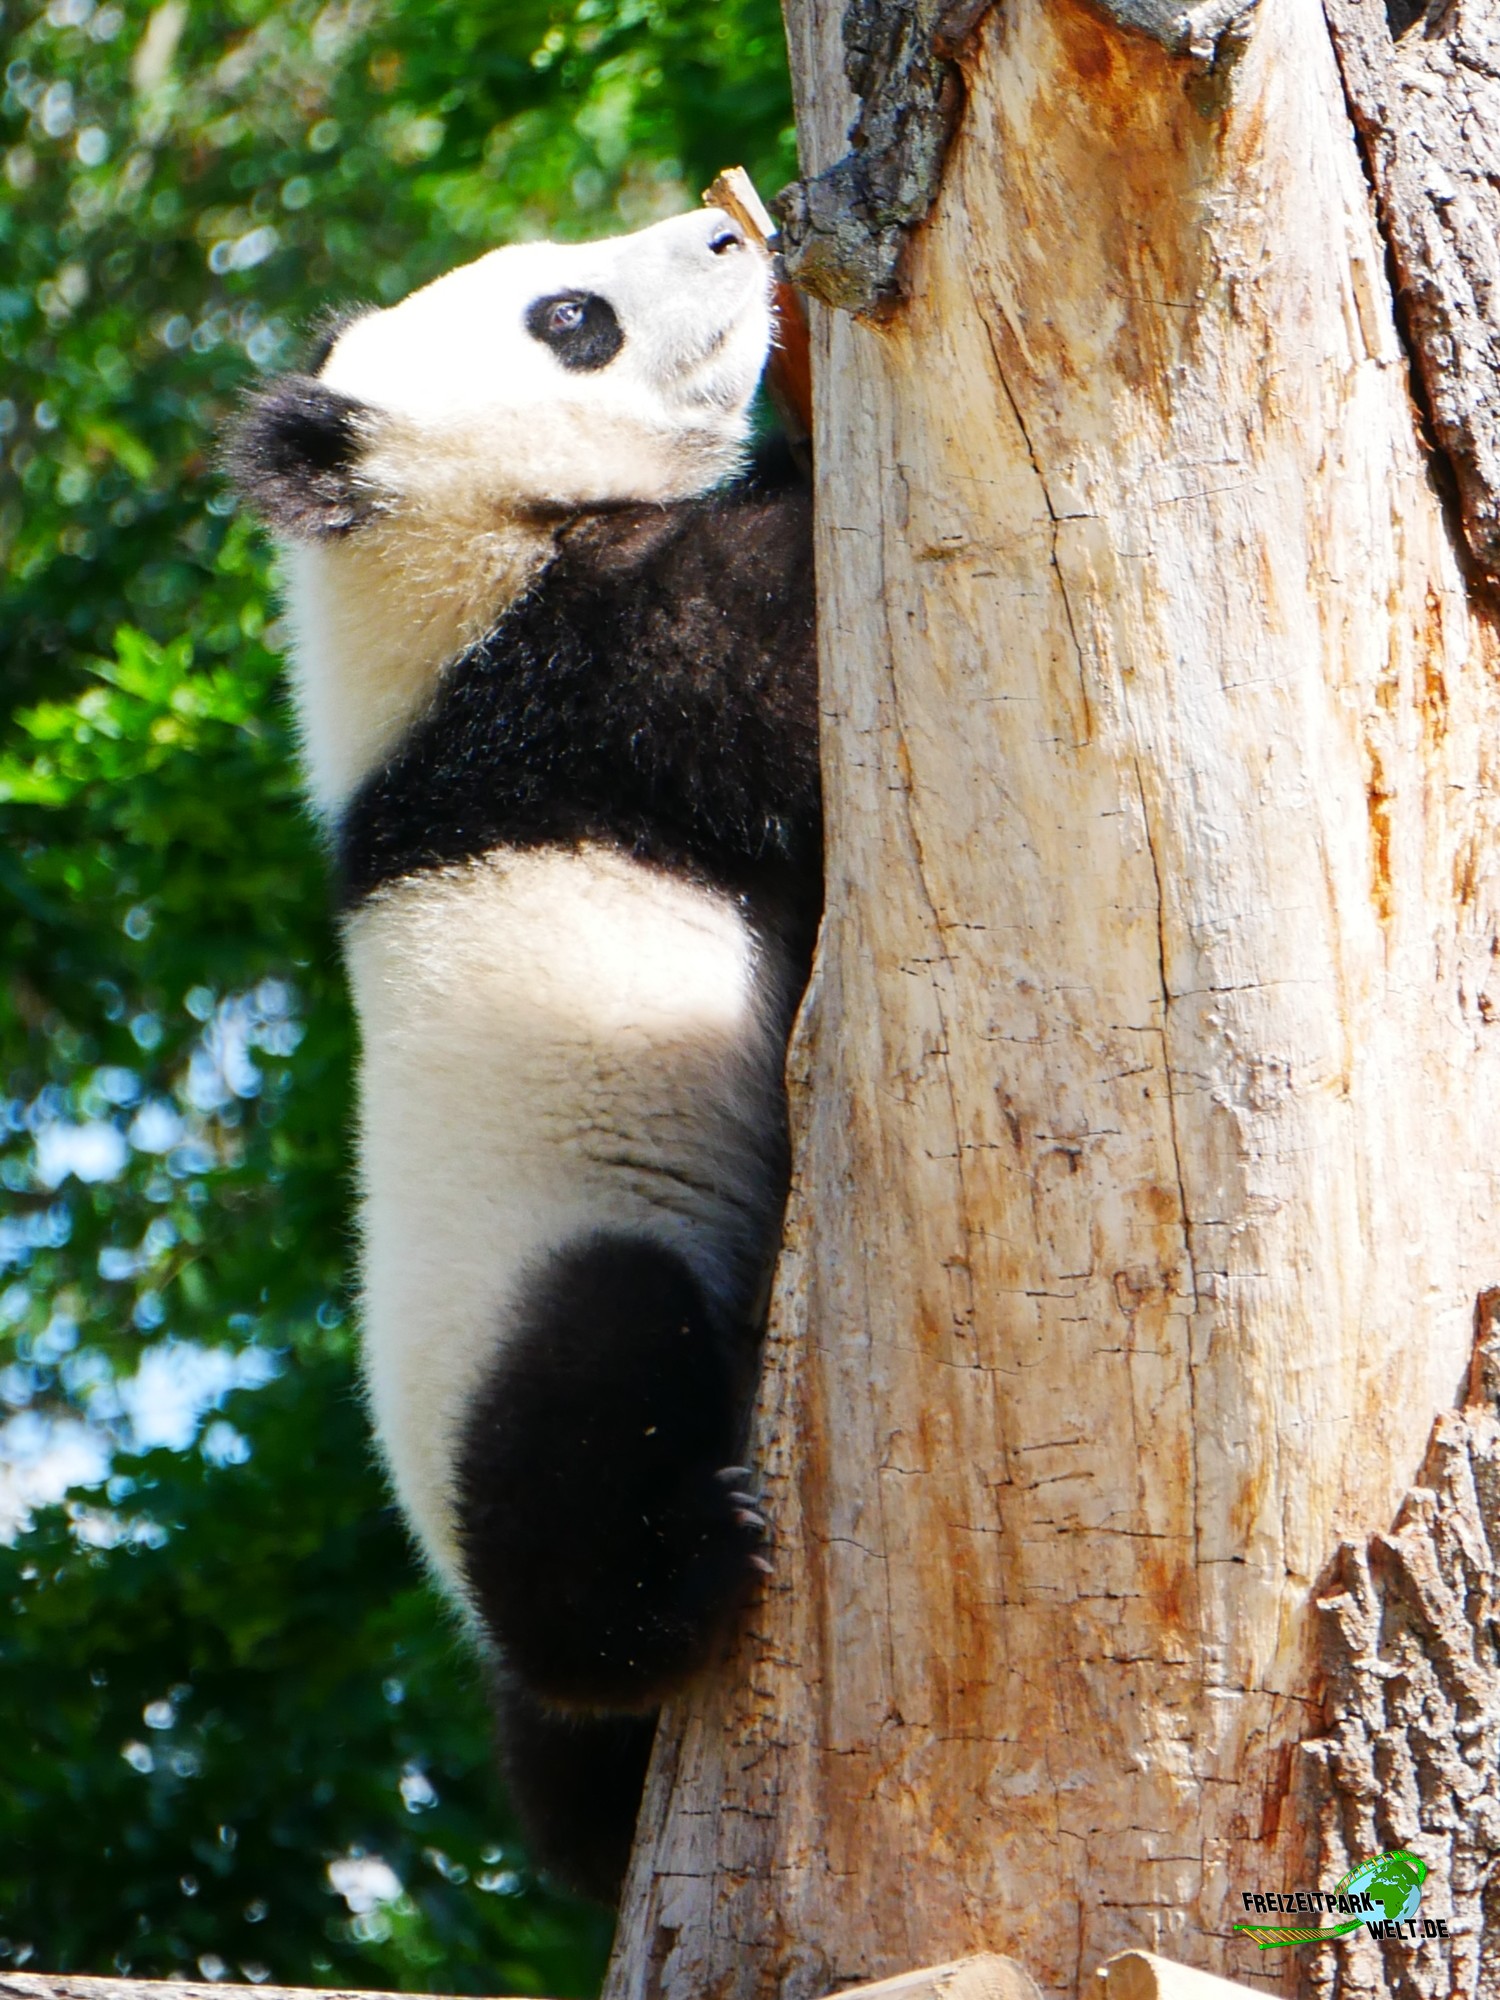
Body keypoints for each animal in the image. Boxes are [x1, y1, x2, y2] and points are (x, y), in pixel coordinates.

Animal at [227, 206, 820, 1902]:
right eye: (571, 316)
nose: (730, 229)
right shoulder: (580, 679)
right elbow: (784, 667)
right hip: (532, 1296)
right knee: (582, 1404)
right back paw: (679, 1578)